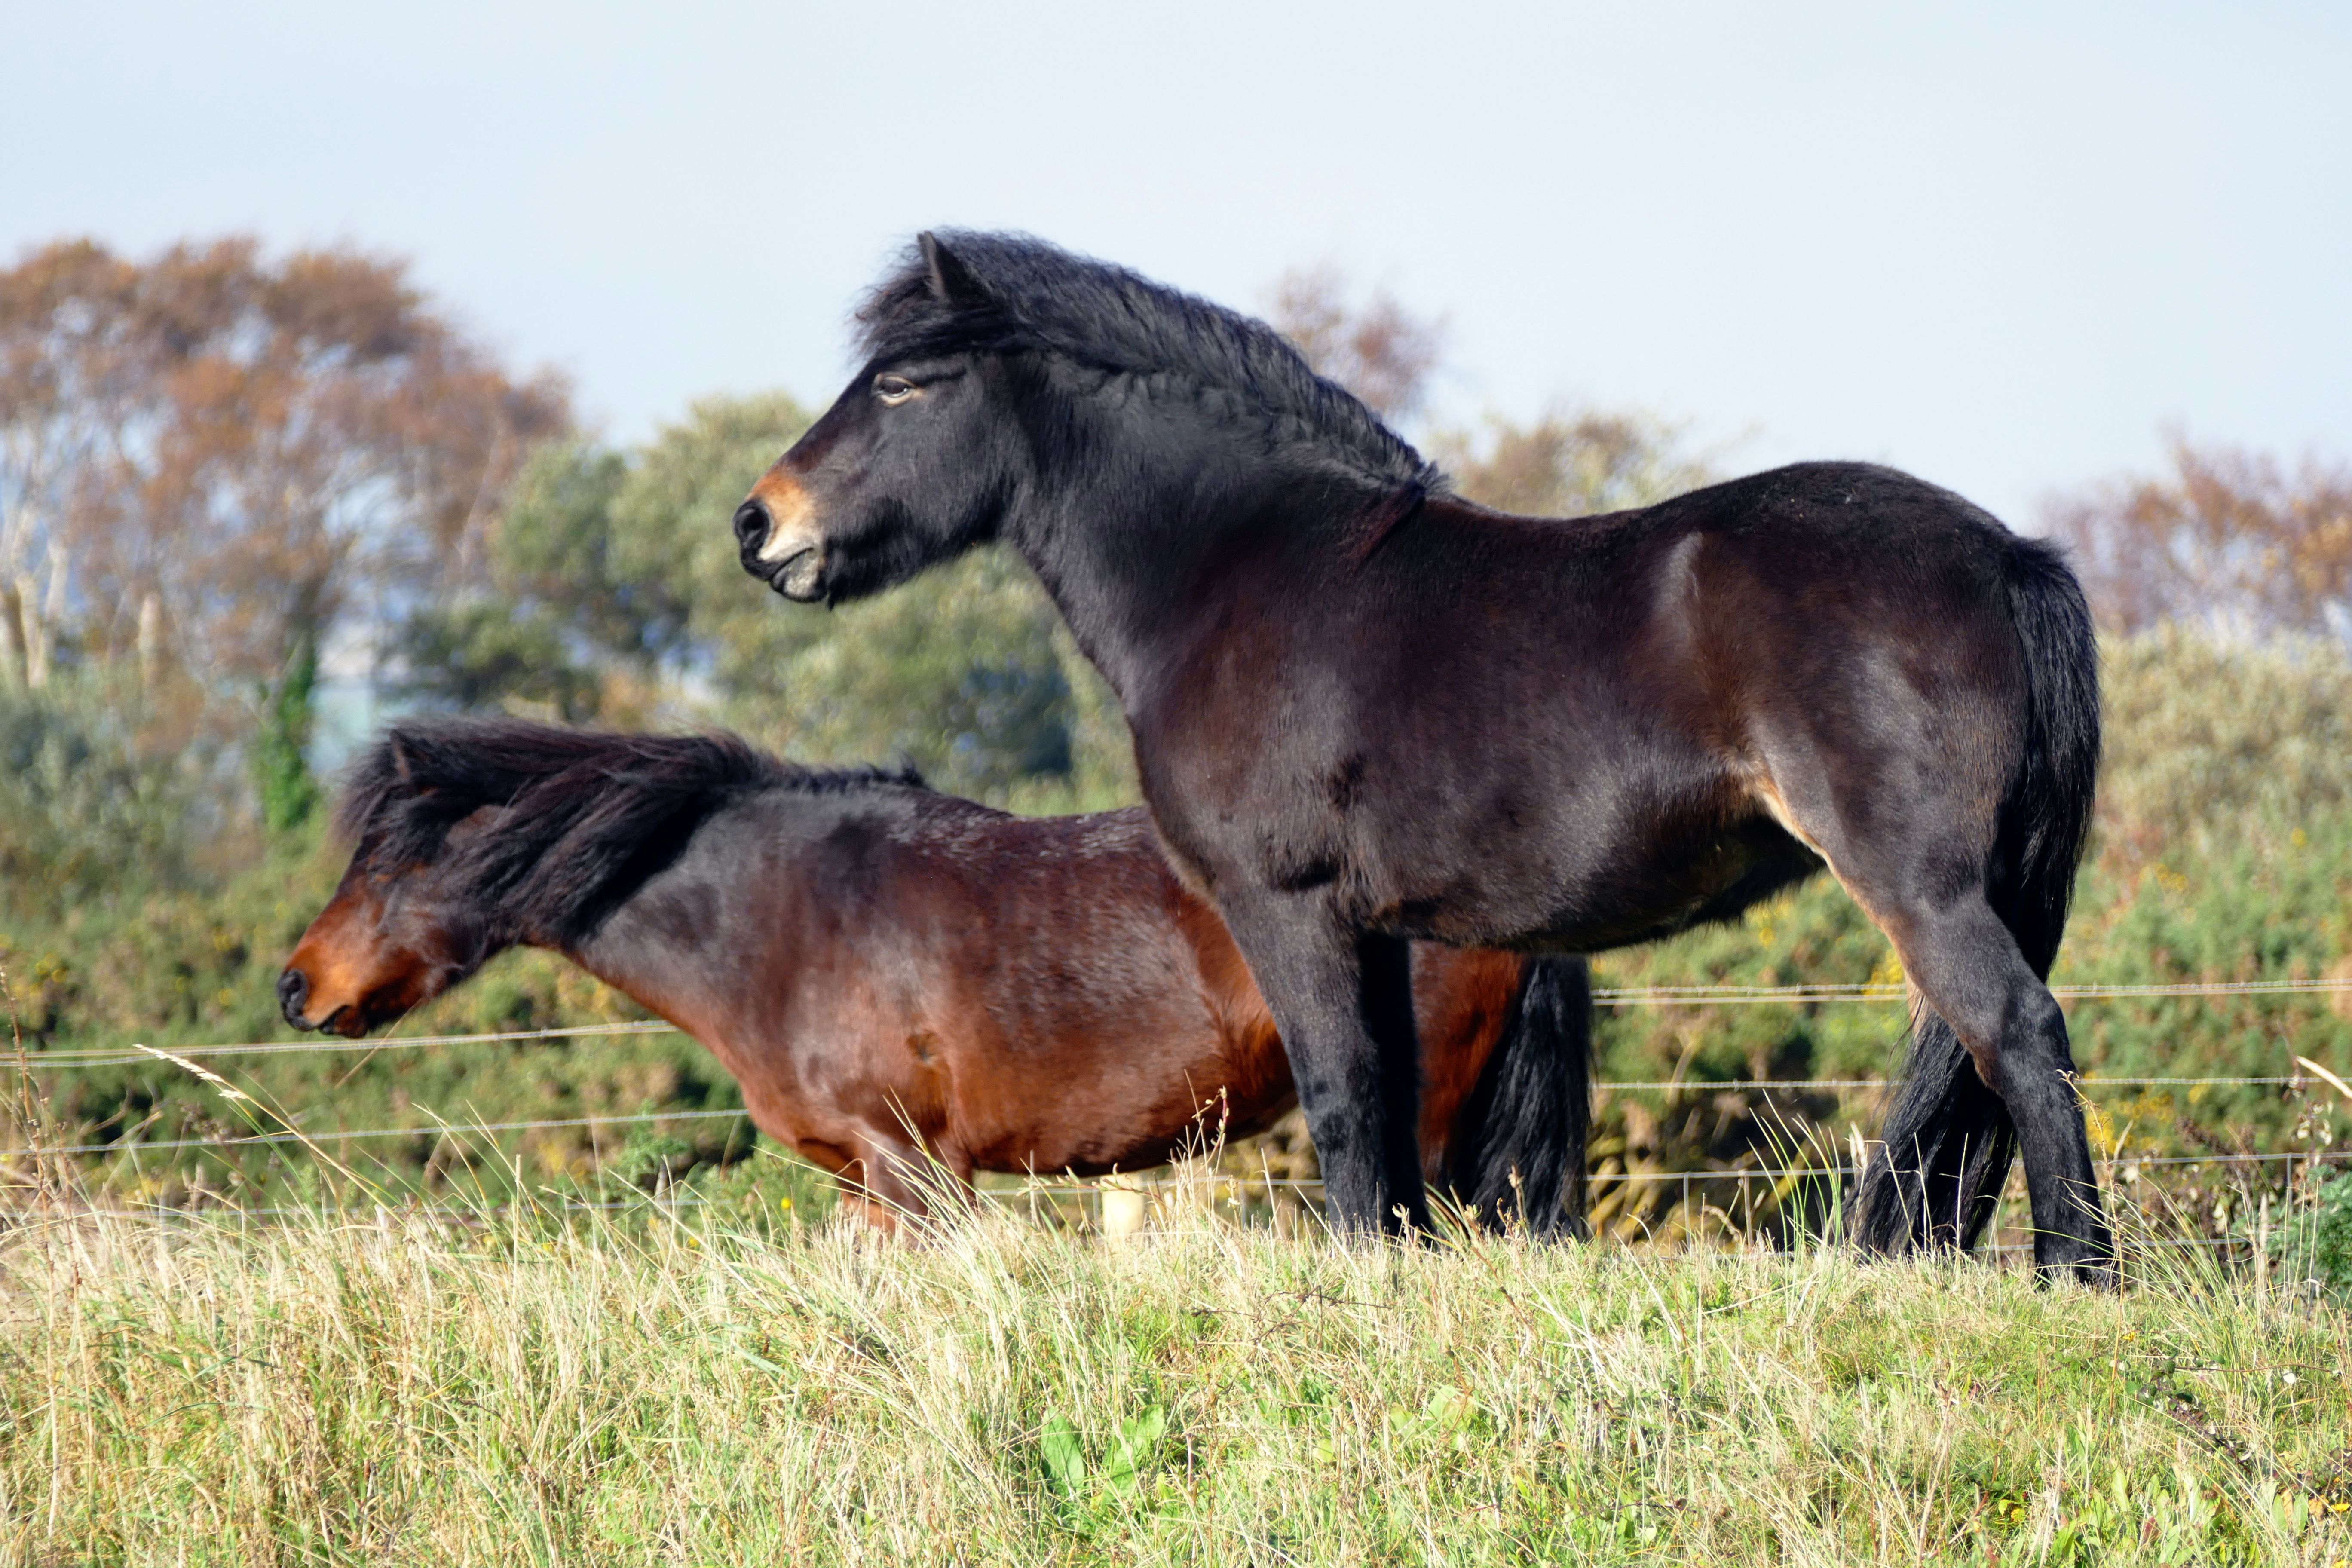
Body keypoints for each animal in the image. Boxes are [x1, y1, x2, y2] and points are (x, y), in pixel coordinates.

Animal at [729, 230, 2110, 1281]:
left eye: (907, 383)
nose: (759, 523)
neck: (1243, 572)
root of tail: (2004, 554)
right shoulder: (1383, 927)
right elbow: (1389, 1114)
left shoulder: (1286, 905)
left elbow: (1341, 1096)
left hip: (1919, 887)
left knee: (2020, 1035)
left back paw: (2078, 1273)